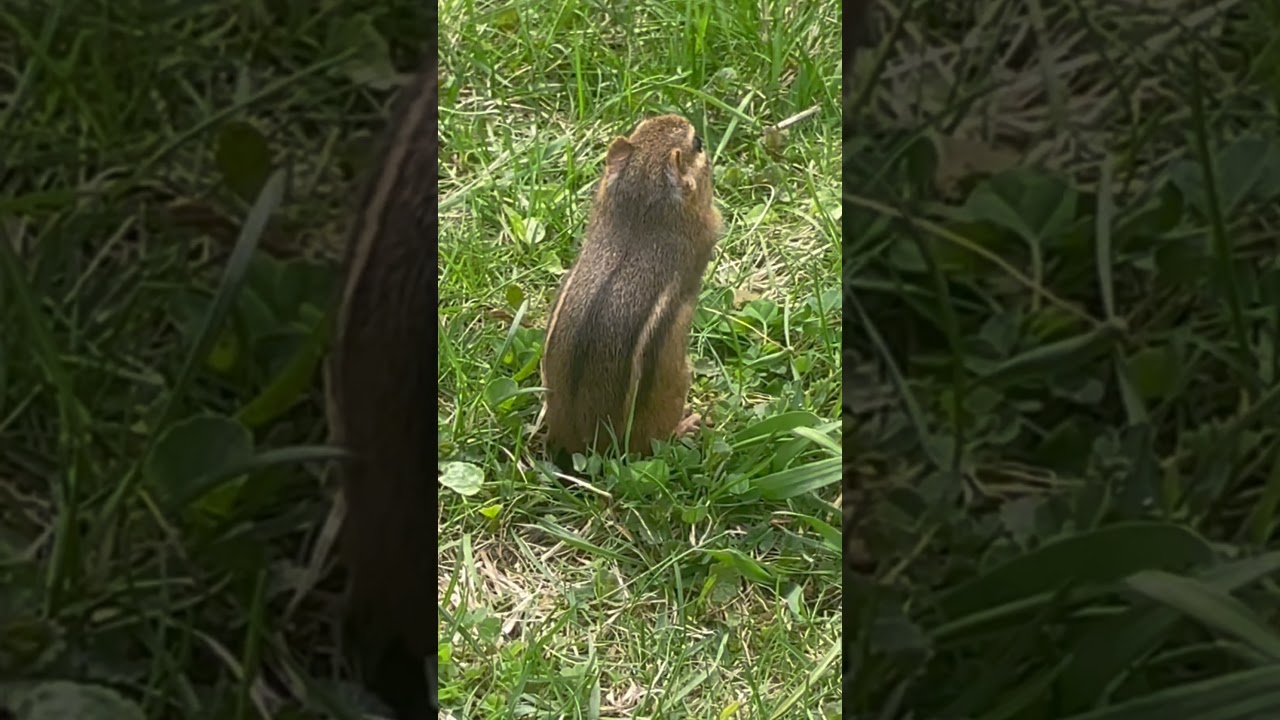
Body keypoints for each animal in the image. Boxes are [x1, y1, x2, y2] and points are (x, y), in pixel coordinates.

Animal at [539, 114, 722, 463]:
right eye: (697, 143)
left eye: (640, 127)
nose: (682, 117)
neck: (641, 204)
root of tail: (586, 441)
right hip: (675, 383)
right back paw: (686, 426)